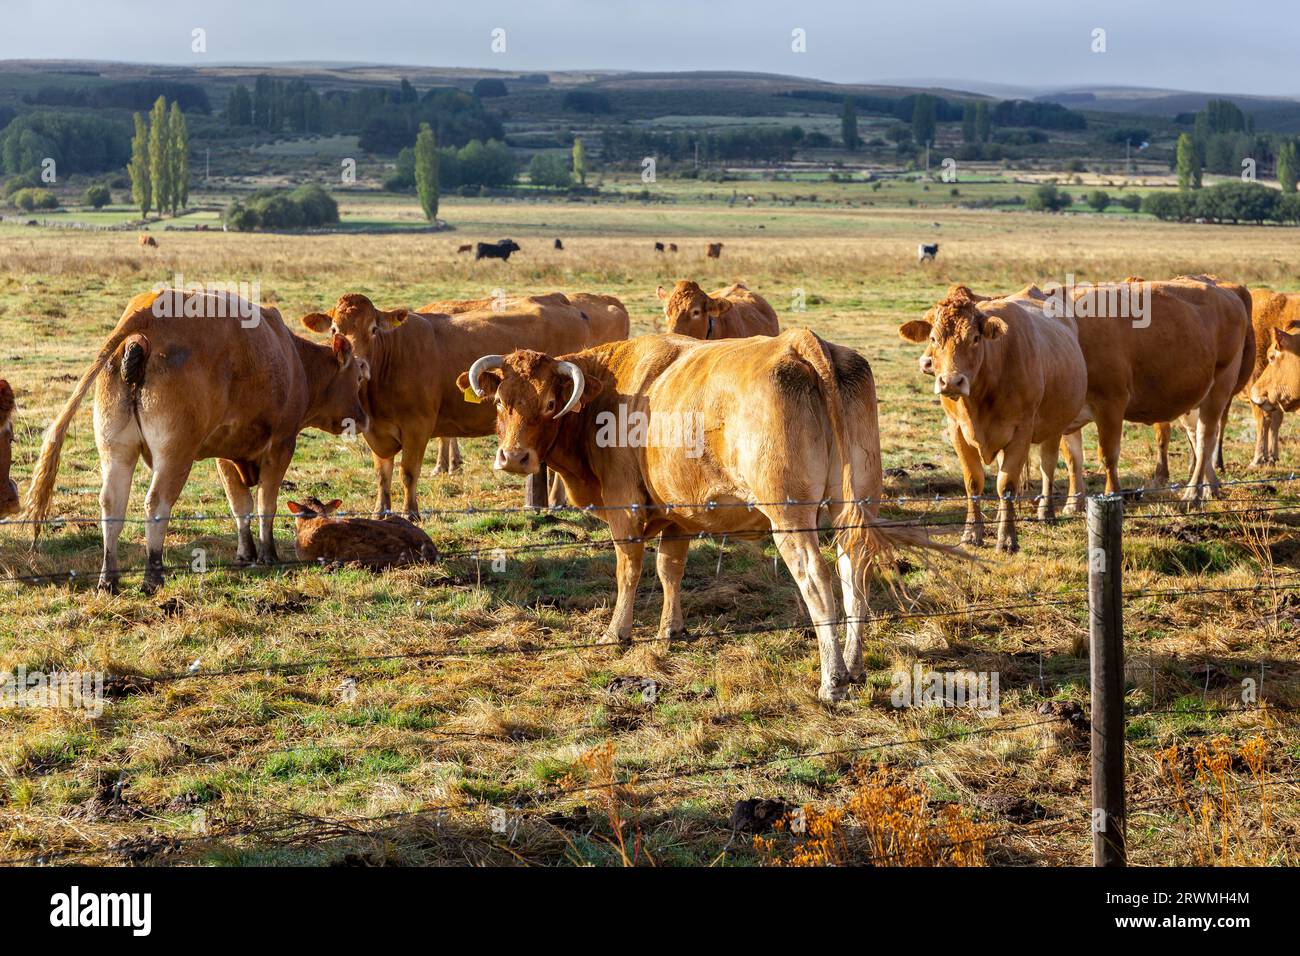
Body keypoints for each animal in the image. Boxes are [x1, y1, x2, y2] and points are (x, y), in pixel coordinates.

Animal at [25, 289, 369, 593]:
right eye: (358, 376)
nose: (363, 418)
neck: (293, 358)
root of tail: (146, 314)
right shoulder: (282, 444)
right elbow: (265, 504)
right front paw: (268, 554)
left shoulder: (226, 453)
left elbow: (239, 504)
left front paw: (246, 553)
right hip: (175, 454)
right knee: (156, 503)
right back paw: (152, 576)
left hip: (117, 451)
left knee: (112, 504)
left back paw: (109, 579)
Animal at [300, 292, 629, 520]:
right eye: (334, 330)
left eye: (373, 329)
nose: (359, 364)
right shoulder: (376, 431)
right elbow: (383, 473)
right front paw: (381, 511)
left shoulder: (417, 428)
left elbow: (408, 472)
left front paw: (411, 513)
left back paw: (557, 500)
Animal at [458, 330, 951, 702]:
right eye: (500, 402)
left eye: (549, 404)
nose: (514, 458)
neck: (612, 391)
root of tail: (802, 342)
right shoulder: (679, 518)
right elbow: (670, 570)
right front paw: (670, 631)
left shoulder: (625, 511)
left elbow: (628, 571)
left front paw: (617, 633)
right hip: (854, 509)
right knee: (854, 573)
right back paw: (854, 665)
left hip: (790, 517)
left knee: (817, 578)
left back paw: (832, 680)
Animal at [899, 286, 1087, 551]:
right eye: (933, 339)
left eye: (975, 338)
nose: (951, 382)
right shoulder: (957, 430)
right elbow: (973, 481)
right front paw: (971, 534)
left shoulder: (1021, 431)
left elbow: (1006, 484)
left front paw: (1007, 538)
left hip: (1055, 427)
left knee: (1047, 466)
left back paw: (1046, 513)